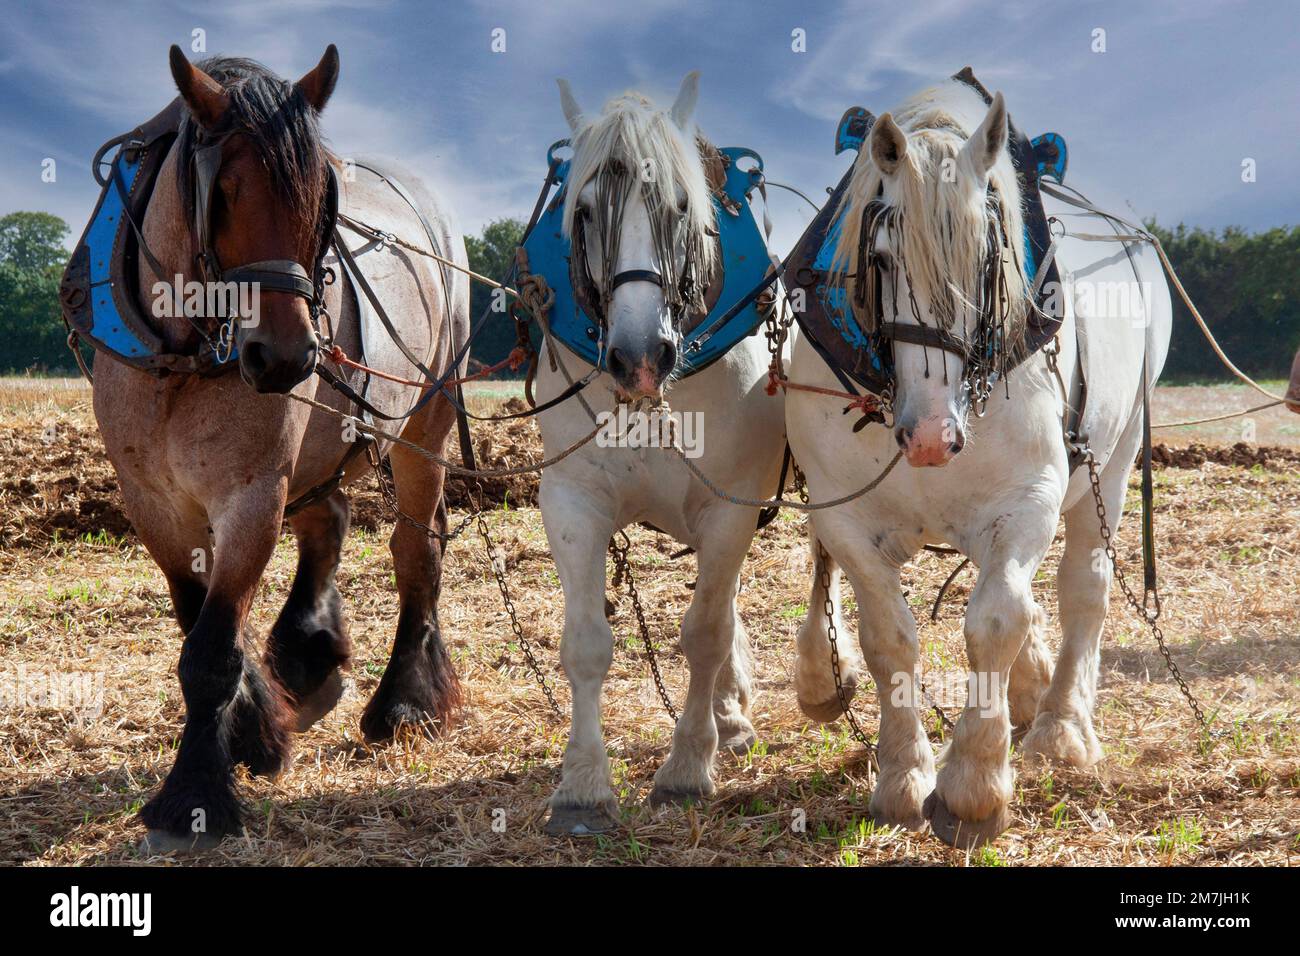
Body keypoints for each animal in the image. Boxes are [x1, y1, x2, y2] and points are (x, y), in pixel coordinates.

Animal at [89, 46, 470, 851]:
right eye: (223, 193)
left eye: (322, 198)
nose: (288, 356)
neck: (182, 356)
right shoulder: (151, 502)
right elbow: (197, 622)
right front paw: (253, 730)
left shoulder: (253, 494)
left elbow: (211, 649)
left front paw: (194, 796)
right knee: (330, 521)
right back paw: (310, 652)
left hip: (427, 420)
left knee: (415, 548)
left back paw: (405, 701)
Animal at [533, 73, 841, 834]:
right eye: (584, 210)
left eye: (680, 206)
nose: (641, 356)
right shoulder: (572, 502)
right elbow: (586, 641)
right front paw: (583, 785)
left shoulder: (731, 505)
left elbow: (704, 632)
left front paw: (685, 767)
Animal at [785, 78, 1172, 847]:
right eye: (881, 257)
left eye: (989, 258)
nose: (933, 435)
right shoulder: (844, 514)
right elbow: (889, 636)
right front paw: (903, 775)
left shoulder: (1028, 499)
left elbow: (994, 622)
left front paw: (974, 785)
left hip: (1113, 462)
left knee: (1084, 586)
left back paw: (1061, 724)